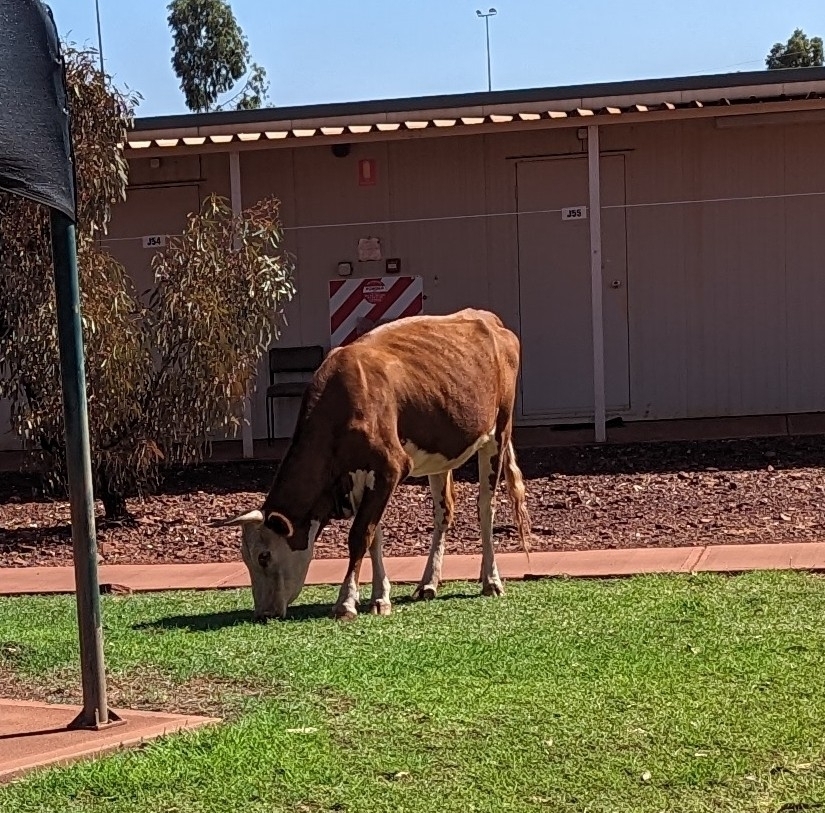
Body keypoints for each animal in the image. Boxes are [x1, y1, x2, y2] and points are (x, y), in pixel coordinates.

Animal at [217, 308, 531, 621]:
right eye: (245, 558)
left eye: (264, 556)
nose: (263, 613)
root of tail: (487, 318)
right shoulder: (358, 478)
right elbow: (374, 537)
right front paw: (379, 597)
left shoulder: (389, 468)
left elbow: (360, 535)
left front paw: (346, 602)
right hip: (441, 454)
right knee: (443, 514)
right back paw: (428, 584)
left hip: (497, 434)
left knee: (485, 507)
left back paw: (491, 580)